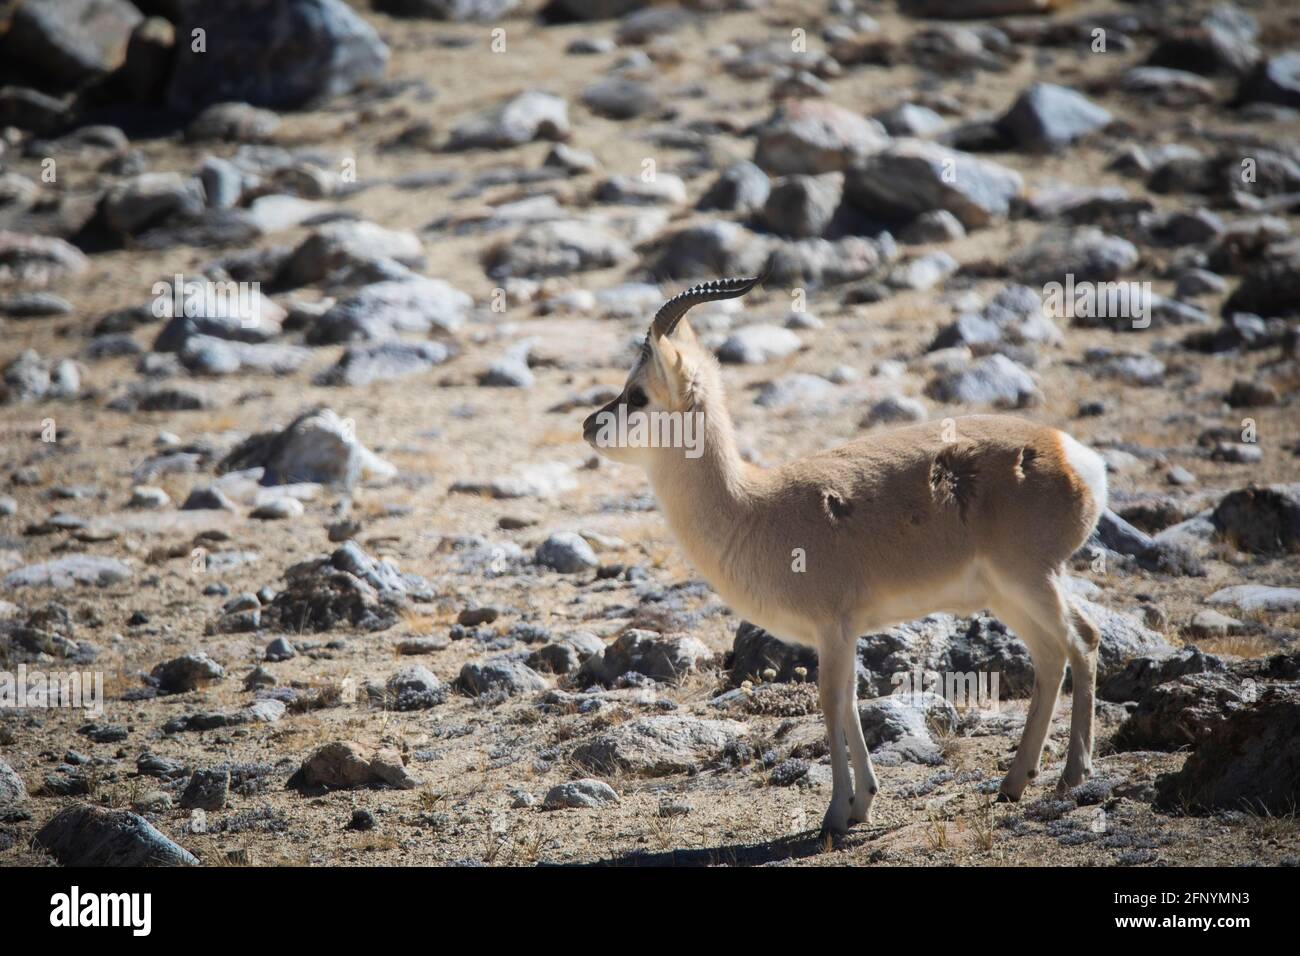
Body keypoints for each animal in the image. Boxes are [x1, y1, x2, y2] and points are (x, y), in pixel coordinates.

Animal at [582, 270, 1108, 836]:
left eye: (638, 394)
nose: (589, 425)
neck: (753, 508)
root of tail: (1074, 456)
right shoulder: (843, 632)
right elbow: (852, 702)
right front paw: (863, 804)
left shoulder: (831, 628)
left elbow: (831, 704)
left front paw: (835, 813)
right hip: (1009, 595)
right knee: (1053, 654)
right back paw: (1015, 782)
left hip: (1030, 581)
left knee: (1082, 640)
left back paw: (1071, 776)